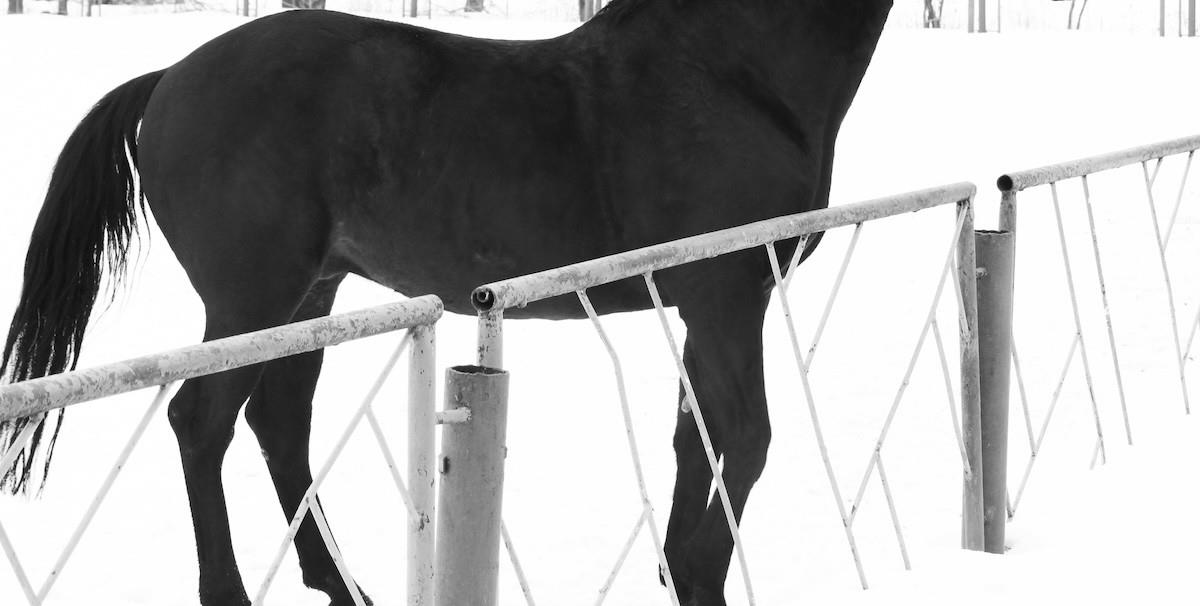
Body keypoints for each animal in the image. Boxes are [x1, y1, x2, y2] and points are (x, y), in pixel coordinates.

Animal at [0, 1, 892, 604]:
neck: (727, 69)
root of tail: (167, 82)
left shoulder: (704, 305)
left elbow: (693, 437)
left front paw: (675, 567)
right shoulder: (727, 298)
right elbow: (746, 438)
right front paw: (700, 576)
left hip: (312, 292)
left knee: (278, 423)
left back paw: (339, 580)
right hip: (251, 300)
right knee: (202, 422)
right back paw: (233, 593)